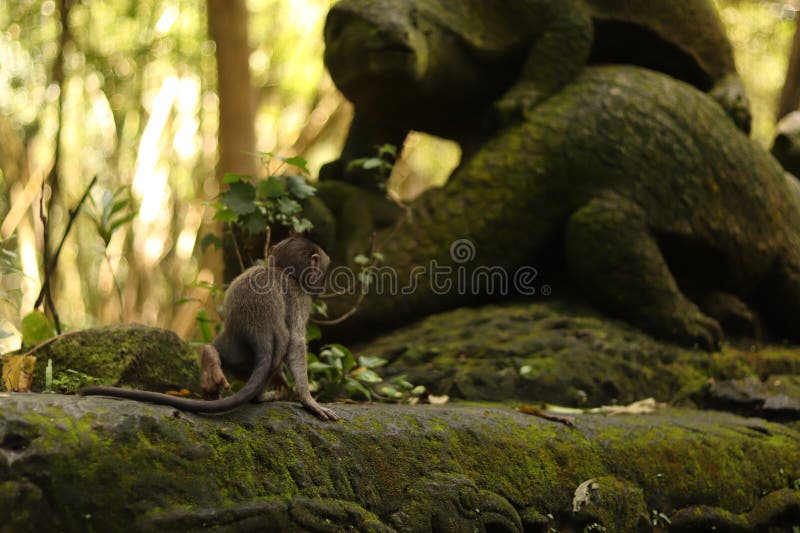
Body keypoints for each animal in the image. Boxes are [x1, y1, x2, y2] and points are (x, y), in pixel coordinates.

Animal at [81, 236, 339, 421]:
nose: (322, 284)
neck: (281, 271)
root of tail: (258, 334)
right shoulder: (301, 298)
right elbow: (296, 341)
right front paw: (307, 399)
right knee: (283, 344)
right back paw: (261, 396)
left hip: (235, 349)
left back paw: (211, 362)